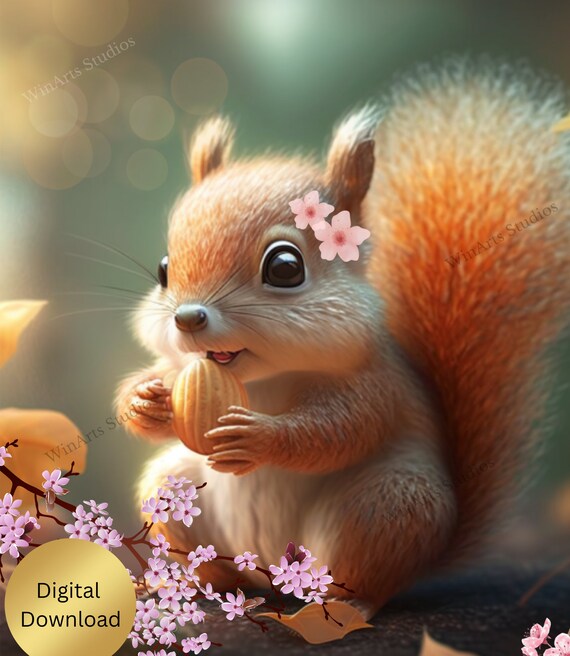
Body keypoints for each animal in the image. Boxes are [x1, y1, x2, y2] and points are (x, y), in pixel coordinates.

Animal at [115, 59, 570, 619]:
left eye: (285, 268)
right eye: (163, 268)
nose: (187, 318)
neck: (259, 380)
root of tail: (269, 573)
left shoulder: (374, 383)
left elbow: (338, 431)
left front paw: (259, 438)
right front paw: (144, 399)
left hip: (387, 506)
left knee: (361, 576)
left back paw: (345, 606)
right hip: (174, 493)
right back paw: (193, 587)